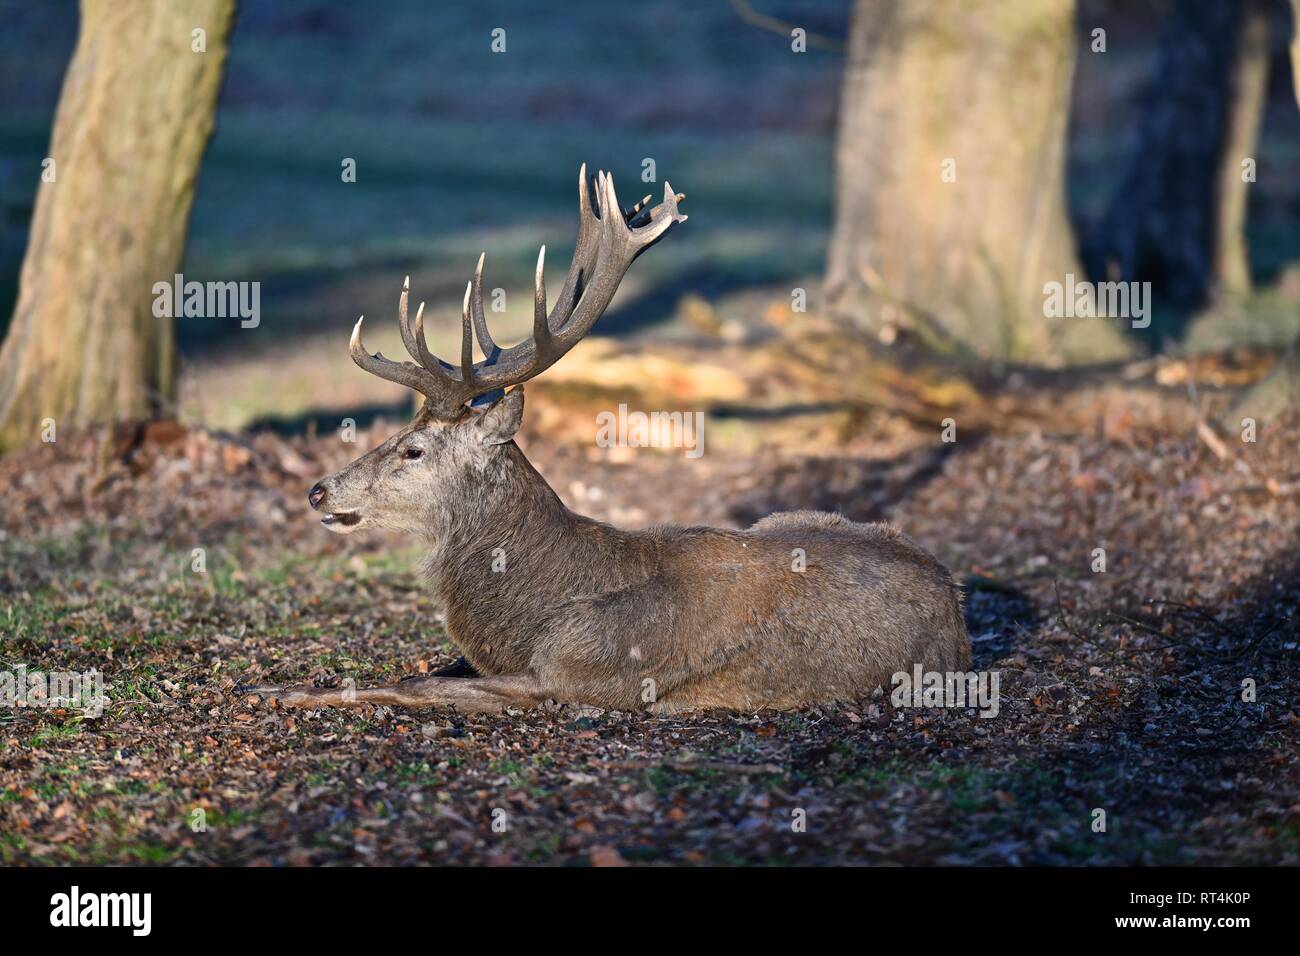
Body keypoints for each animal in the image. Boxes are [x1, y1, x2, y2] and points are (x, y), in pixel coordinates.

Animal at [239, 165, 970, 715]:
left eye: (414, 450)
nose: (317, 489)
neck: (532, 612)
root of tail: (961, 618)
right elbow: (430, 667)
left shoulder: (580, 674)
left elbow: (414, 684)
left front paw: (287, 693)